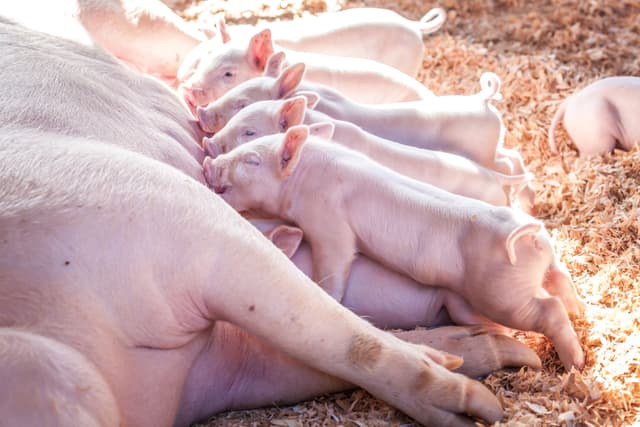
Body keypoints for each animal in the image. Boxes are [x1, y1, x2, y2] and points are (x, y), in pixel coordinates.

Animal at [197, 54, 536, 211]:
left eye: (249, 129)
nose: (208, 142)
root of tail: (483, 100)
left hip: (486, 152)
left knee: (511, 162)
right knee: (512, 157)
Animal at [203, 126, 585, 370]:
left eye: (252, 159)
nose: (209, 162)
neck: (305, 174)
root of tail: (528, 233)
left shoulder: (330, 226)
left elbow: (334, 266)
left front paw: (329, 294)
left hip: (501, 293)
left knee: (549, 310)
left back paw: (575, 365)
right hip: (542, 267)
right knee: (562, 283)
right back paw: (580, 314)